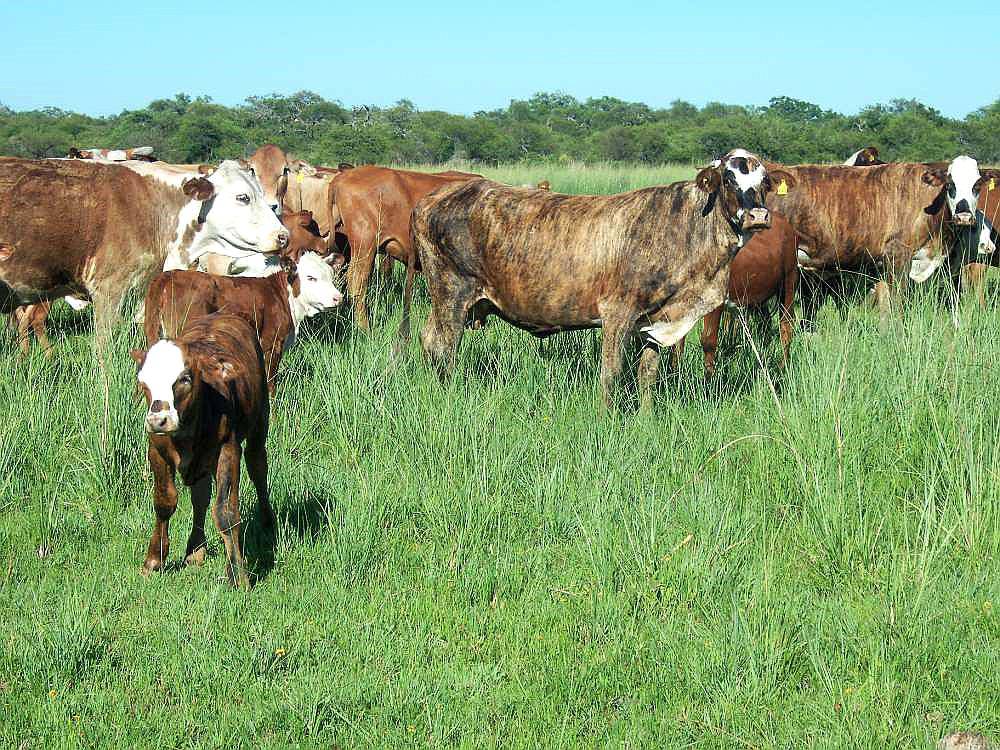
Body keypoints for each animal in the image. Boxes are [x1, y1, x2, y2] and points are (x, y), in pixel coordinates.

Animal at [132, 313, 271, 588]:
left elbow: (226, 512)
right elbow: (164, 502)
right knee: (200, 497)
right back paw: (195, 551)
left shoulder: (228, 450)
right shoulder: (156, 450)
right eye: (143, 383)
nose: (158, 420)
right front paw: (154, 560)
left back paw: (268, 523)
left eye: (184, 378)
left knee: (258, 467)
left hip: (260, 420)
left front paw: (238, 575)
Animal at [144, 252, 343, 391]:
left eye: (330, 276)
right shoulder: (272, 343)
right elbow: (270, 381)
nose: (338, 297)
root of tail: (167, 276)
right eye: (311, 277)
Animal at [674, 213, 799, 377]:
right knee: (765, 324)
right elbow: (677, 343)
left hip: (789, 281)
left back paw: (782, 368)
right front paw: (673, 376)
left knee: (786, 326)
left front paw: (709, 381)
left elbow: (708, 340)